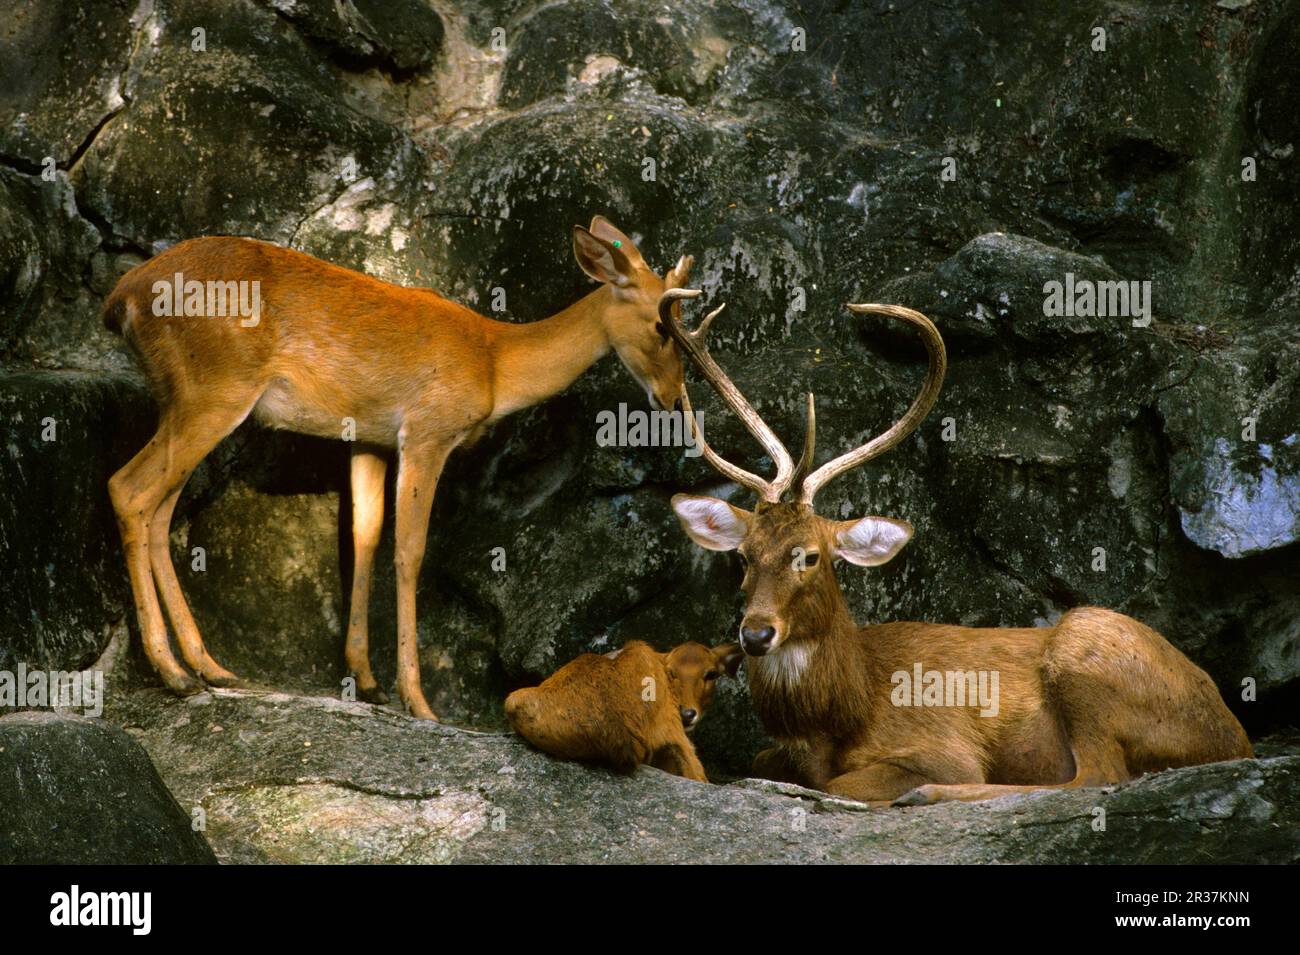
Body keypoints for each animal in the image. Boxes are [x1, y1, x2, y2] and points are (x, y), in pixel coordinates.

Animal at [103, 216, 694, 721]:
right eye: (662, 328)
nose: (671, 399)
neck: (493, 360)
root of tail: (122, 297)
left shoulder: (370, 439)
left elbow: (364, 537)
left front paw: (366, 681)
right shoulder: (428, 431)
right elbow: (409, 553)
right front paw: (419, 700)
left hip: (185, 400)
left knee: (160, 510)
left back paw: (208, 667)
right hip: (215, 391)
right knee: (128, 488)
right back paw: (173, 672)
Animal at [659, 288, 1253, 806]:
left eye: (810, 554)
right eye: (743, 556)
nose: (756, 633)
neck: (843, 713)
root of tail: (1236, 736)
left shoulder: (942, 744)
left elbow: (843, 783)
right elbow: (764, 762)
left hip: (1087, 651)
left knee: (1097, 775)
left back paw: (928, 794)